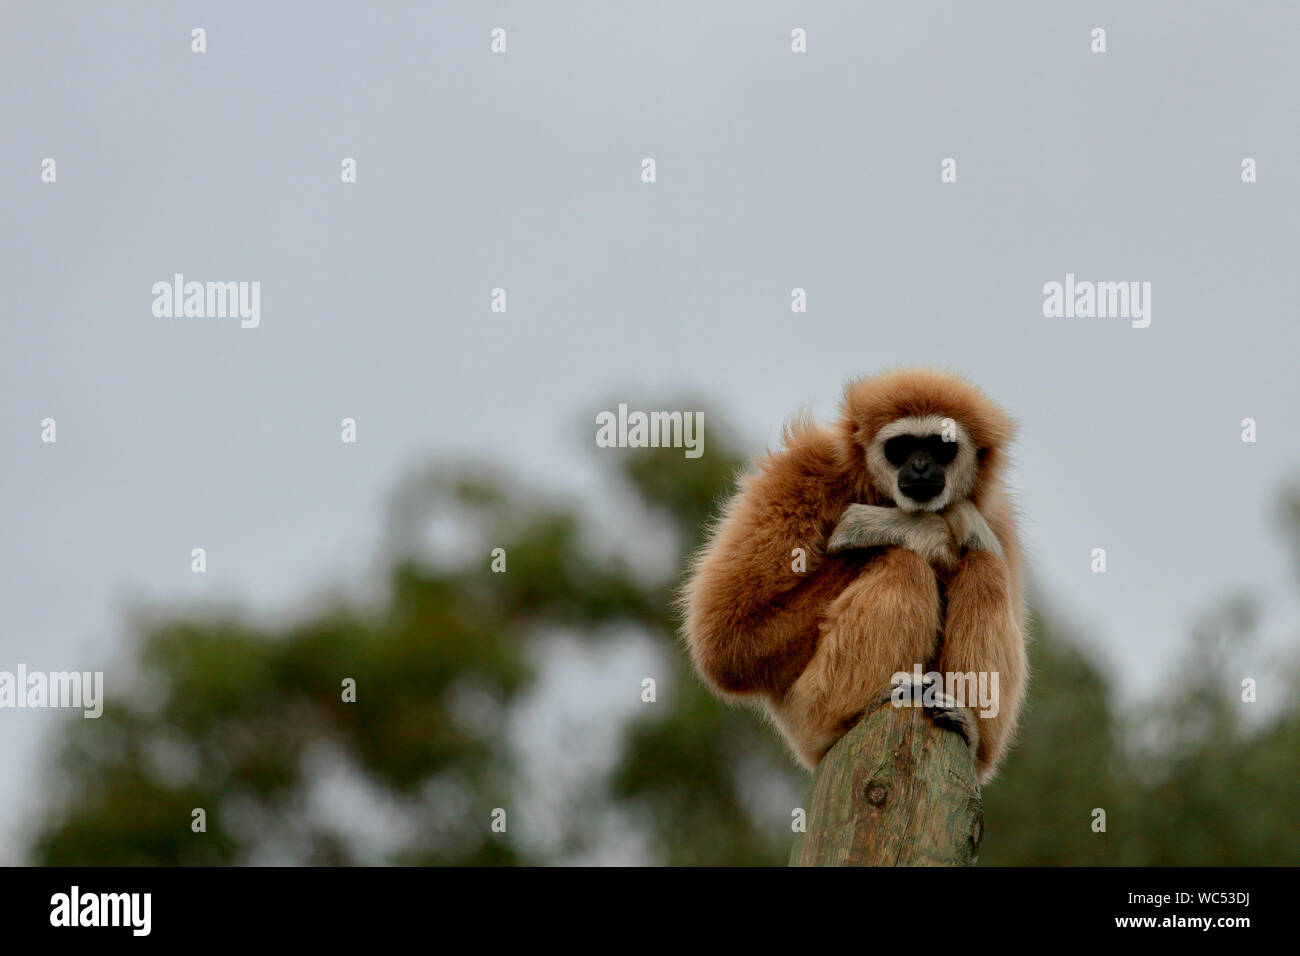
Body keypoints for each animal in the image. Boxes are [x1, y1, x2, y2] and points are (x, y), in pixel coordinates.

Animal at [680, 368, 1026, 783]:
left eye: (941, 447)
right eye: (901, 447)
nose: (921, 466)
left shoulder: (998, 516)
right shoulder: (803, 470)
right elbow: (728, 643)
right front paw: (934, 528)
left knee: (985, 568)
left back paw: (969, 729)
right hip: (808, 711)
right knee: (904, 563)